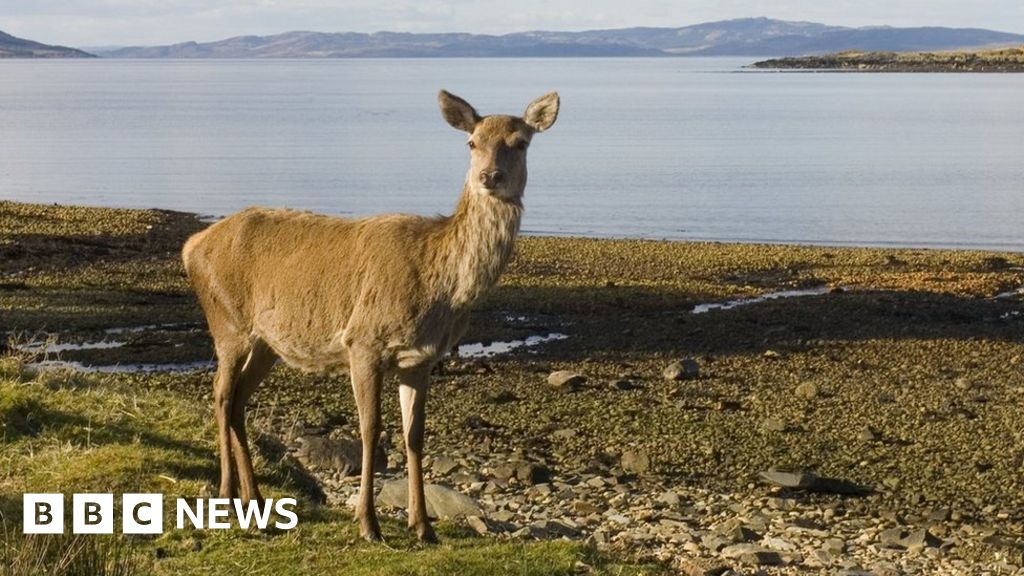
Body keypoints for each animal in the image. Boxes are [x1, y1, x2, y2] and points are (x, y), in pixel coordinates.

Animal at [181, 90, 559, 543]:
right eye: (472, 142)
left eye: (520, 142)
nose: (490, 176)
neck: (439, 286)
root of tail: (191, 245)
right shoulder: (362, 341)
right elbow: (370, 428)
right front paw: (369, 524)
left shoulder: (421, 358)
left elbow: (415, 436)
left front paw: (423, 527)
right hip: (227, 324)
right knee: (221, 394)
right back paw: (225, 494)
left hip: (267, 344)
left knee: (238, 399)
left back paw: (253, 501)